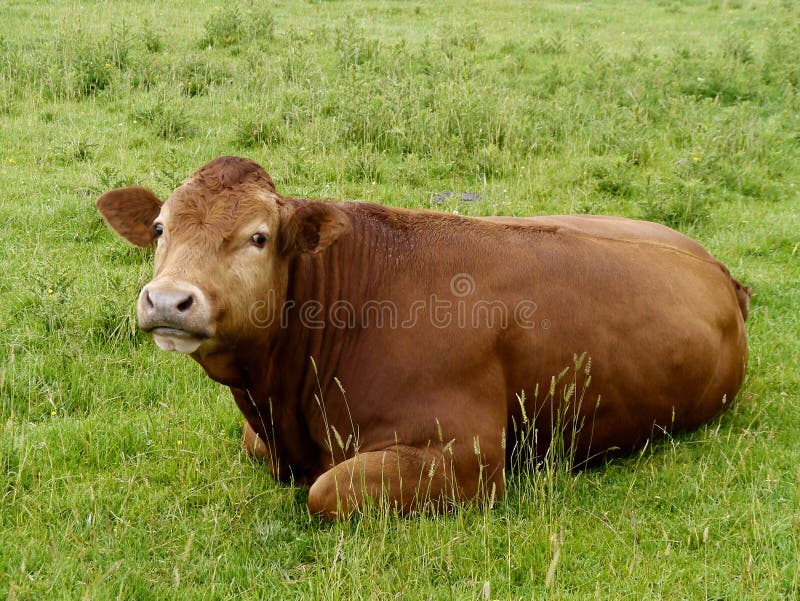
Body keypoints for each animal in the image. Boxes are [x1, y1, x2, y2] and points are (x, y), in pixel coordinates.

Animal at [96, 156, 750, 519]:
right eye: (160, 227)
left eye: (258, 237)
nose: (168, 299)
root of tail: (719, 268)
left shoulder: (471, 456)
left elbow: (326, 491)